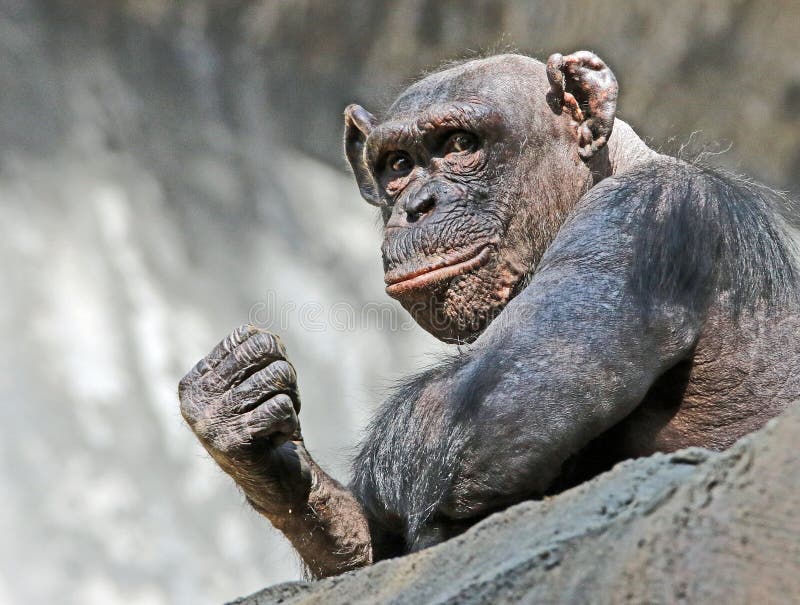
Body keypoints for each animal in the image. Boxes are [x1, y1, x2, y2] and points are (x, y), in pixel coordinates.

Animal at [178, 51, 800, 578]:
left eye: (458, 143)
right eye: (398, 164)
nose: (416, 206)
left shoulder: (637, 220)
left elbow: (491, 416)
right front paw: (239, 413)